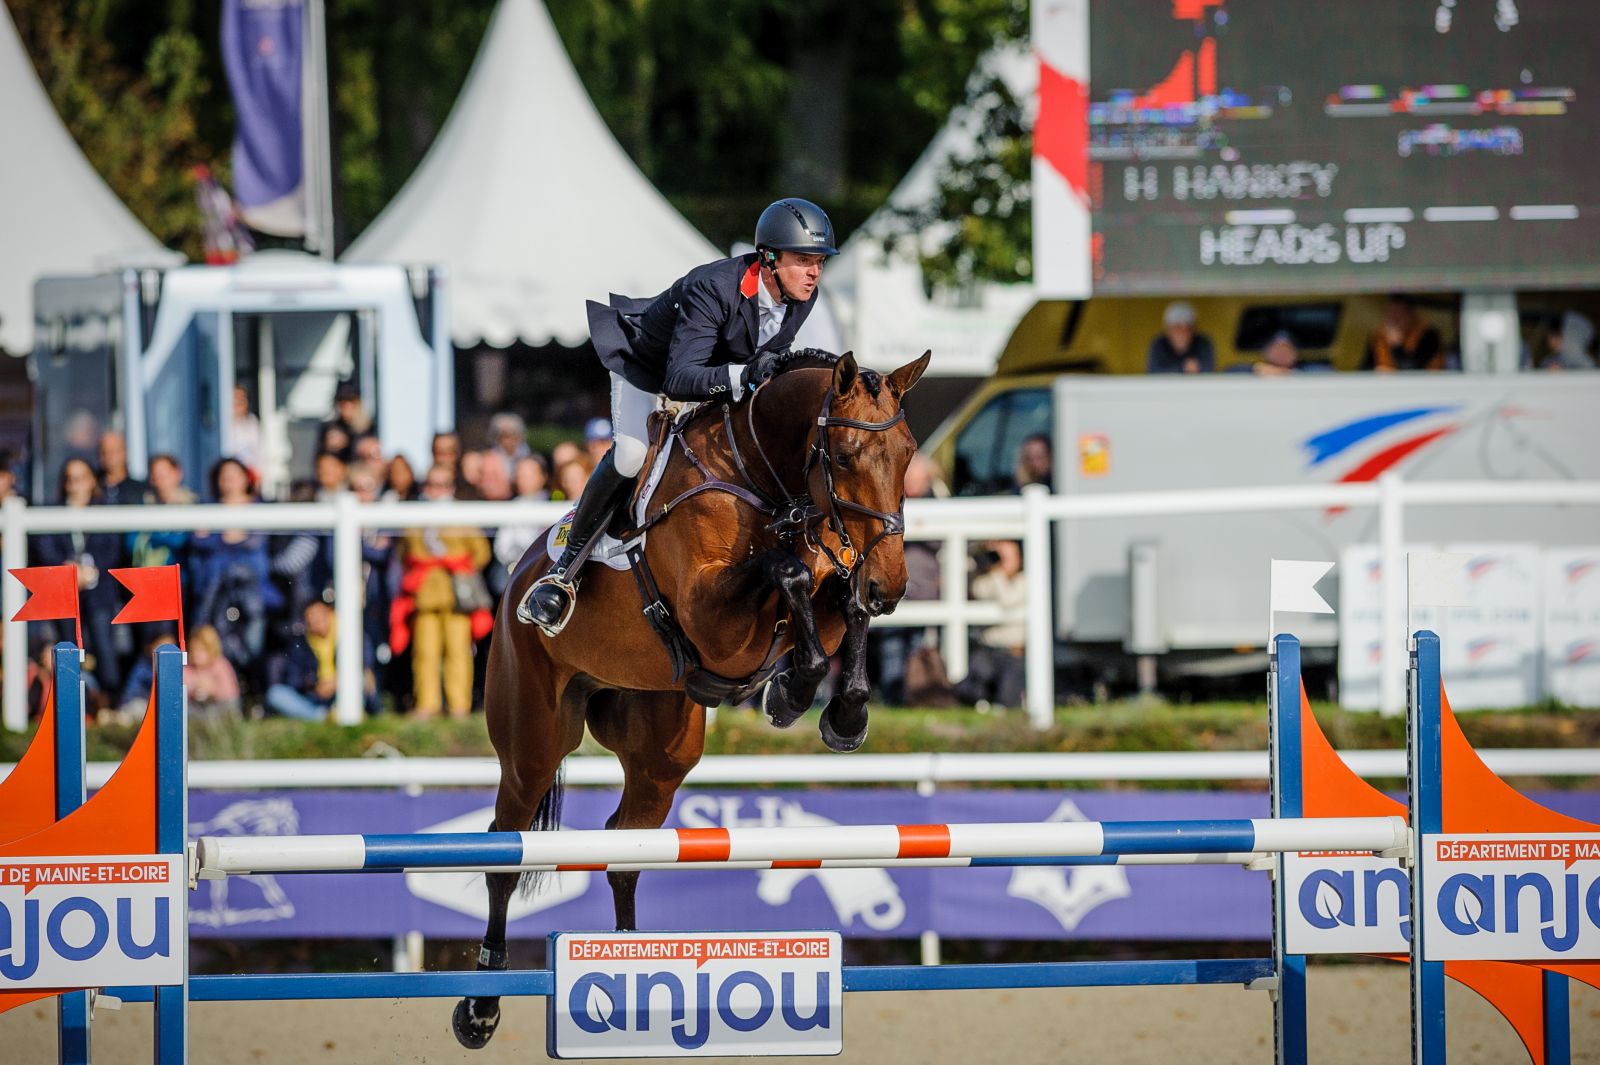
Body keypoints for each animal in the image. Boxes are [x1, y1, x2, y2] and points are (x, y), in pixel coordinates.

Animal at [452, 350, 929, 1049]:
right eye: (842, 456)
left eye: (908, 452)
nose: (891, 585)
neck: (766, 480)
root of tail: (519, 573)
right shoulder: (715, 617)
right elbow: (788, 573)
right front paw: (796, 688)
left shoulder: (832, 566)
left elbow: (839, 592)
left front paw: (840, 711)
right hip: (533, 742)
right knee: (503, 852)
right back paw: (480, 1007)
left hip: (661, 752)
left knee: (624, 850)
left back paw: (625, 990)